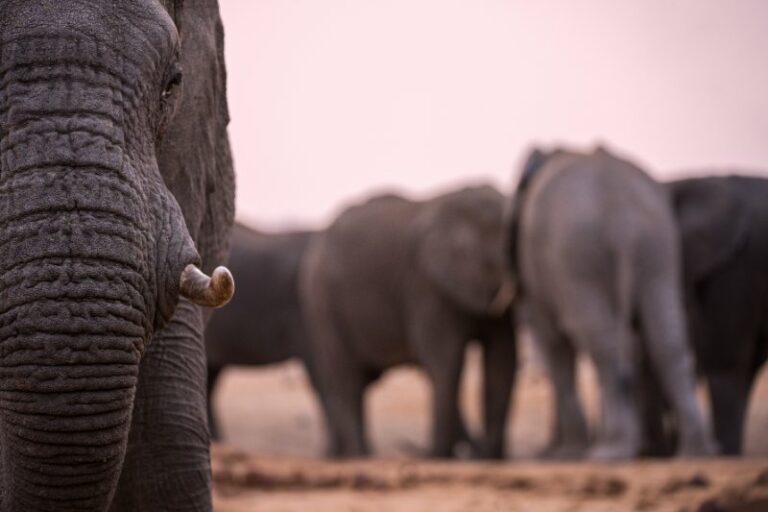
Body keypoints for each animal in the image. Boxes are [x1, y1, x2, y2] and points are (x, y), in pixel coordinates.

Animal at [300, 185, 517, 459]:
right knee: (346, 380)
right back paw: (362, 456)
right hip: (322, 305)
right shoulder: (425, 285)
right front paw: (445, 457)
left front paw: (488, 457)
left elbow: (502, 357)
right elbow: (445, 357)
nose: (415, 450)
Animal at [507, 146, 715, 460]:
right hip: (657, 245)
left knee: (602, 344)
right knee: (666, 339)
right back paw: (694, 451)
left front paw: (568, 453)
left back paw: (610, 450)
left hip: (578, 253)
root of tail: (622, 215)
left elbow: (554, 343)